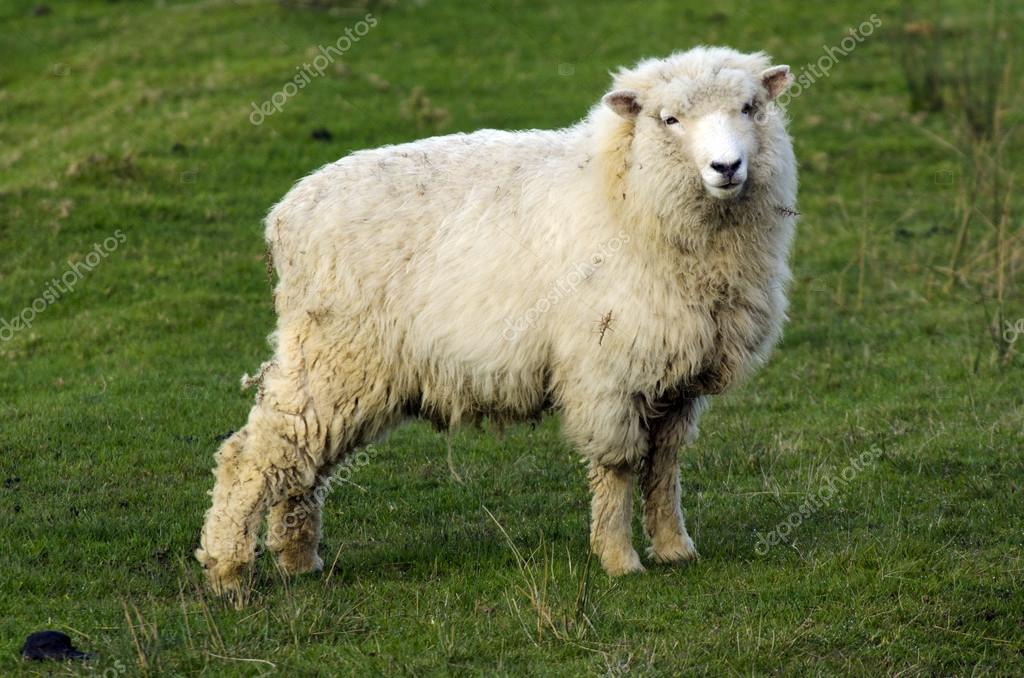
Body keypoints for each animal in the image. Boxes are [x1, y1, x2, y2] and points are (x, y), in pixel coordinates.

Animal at [196, 46, 798, 594]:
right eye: (668, 120)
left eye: (749, 108)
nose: (726, 168)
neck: (625, 194)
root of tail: (285, 213)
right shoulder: (609, 370)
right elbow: (621, 468)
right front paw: (618, 558)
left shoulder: (677, 372)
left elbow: (665, 466)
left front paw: (675, 548)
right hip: (333, 356)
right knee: (252, 455)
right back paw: (228, 571)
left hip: (342, 373)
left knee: (301, 462)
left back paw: (297, 559)